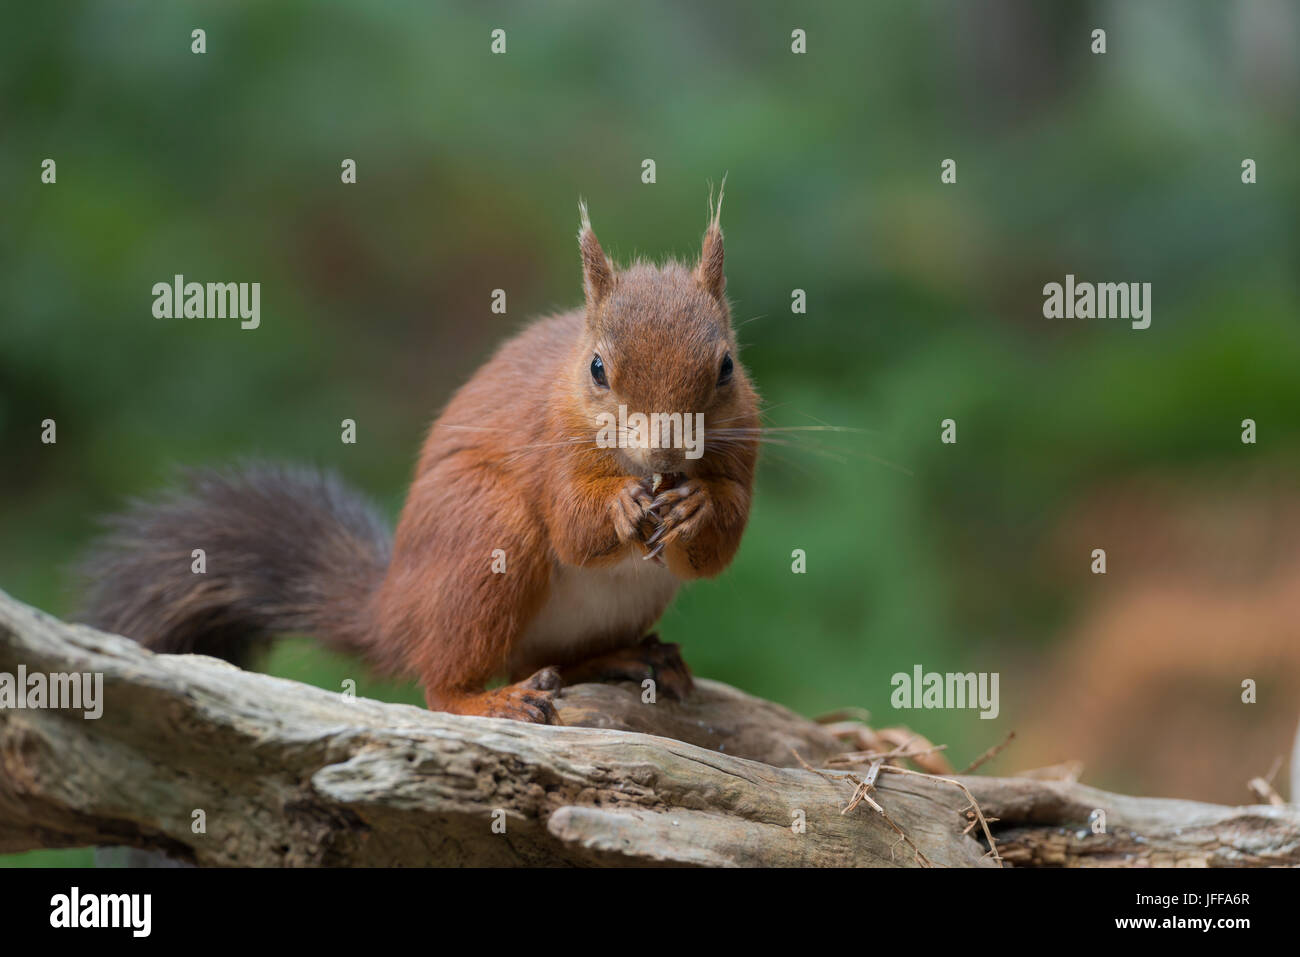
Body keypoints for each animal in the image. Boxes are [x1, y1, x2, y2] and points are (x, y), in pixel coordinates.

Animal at [78, 191, 760, 723]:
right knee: (446, 682)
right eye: (597, 369)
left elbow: (719, 549)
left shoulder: (745, 446)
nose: (666, 450)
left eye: (727, 367)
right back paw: (491, 701)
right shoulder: (547, 441)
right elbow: (572, 526)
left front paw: (697, 506)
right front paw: (619, 505)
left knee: (549, 660)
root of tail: (396, 610)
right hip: (485, 534)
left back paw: (625, 656)